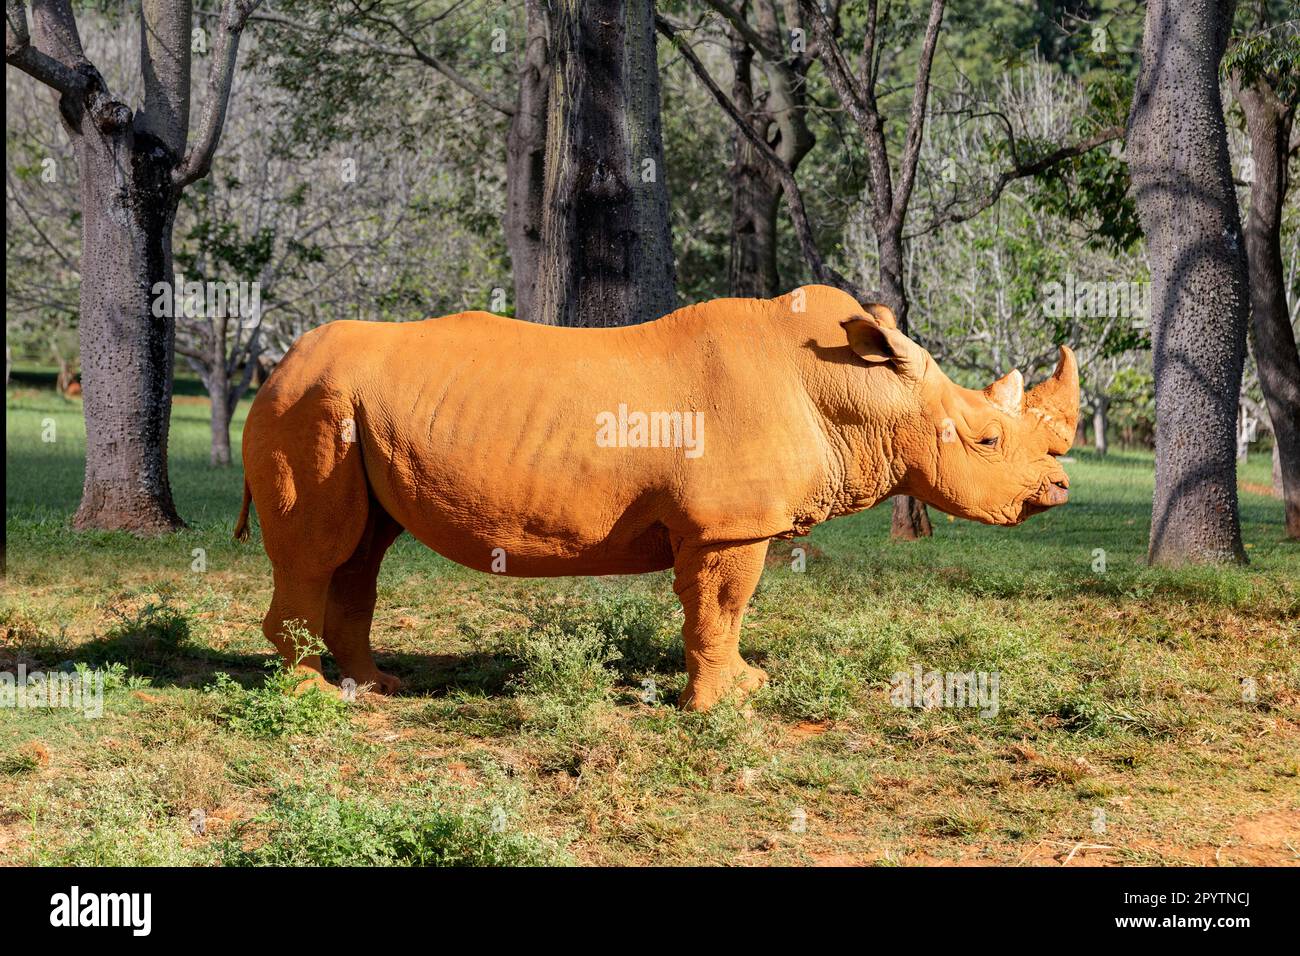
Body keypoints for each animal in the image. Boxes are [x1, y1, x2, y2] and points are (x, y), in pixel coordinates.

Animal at [236, 285, 1078, 710]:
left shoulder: (720, 524)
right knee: (322, 550)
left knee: (363, 552)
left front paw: (743, 687)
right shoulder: (728, 526)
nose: (1060, 488)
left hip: (344, 409)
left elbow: (719, 612)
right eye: (987, 440)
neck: (854, 390)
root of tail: (278, 362)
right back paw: (312, 699)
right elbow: (721, 607)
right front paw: (724, 707)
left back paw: (377, 687)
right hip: (311, 406)